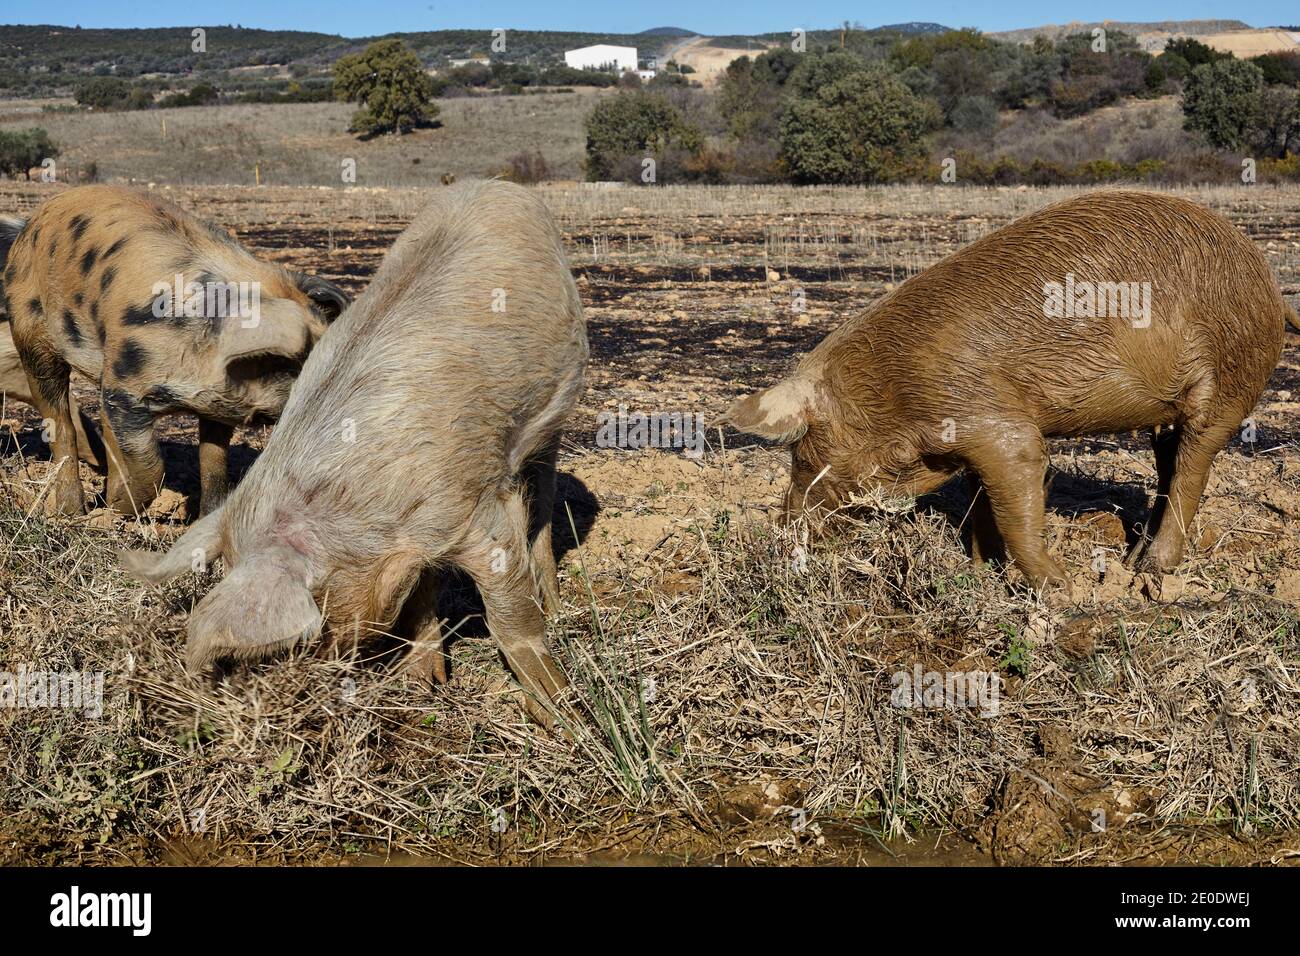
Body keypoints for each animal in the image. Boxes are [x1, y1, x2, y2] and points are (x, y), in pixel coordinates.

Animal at [2, 186, 350, 518]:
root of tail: (30, 223)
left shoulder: (217, 404)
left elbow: (213, 462)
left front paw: (203, 517)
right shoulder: (125, 384)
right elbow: (152, 467)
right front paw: (121, 509)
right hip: (31, 332)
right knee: (60, 422)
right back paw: (72, 513)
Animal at [119, 179, 588, 724]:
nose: (318, 678)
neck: (362, 516)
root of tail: (500, 185)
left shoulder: (474, 508)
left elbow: (509, 614)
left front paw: (564, 716)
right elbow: (422, 595)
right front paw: (421, 683)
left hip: (556, 407)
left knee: (543, 496)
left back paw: (553, 601)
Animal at [724, 190, 1292, 594]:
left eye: (801, 456)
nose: (782, 533)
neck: (889, 394)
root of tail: (1267, 279)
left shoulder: (992, 420)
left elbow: (1018, 491)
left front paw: (1061, 590)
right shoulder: (970, 439)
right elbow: (982, 504)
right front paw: (979, 572)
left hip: (1231, 375)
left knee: (1193, 464)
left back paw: (1150, 574)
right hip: (1171, 409)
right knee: (1168, 460)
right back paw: (1131, 561)